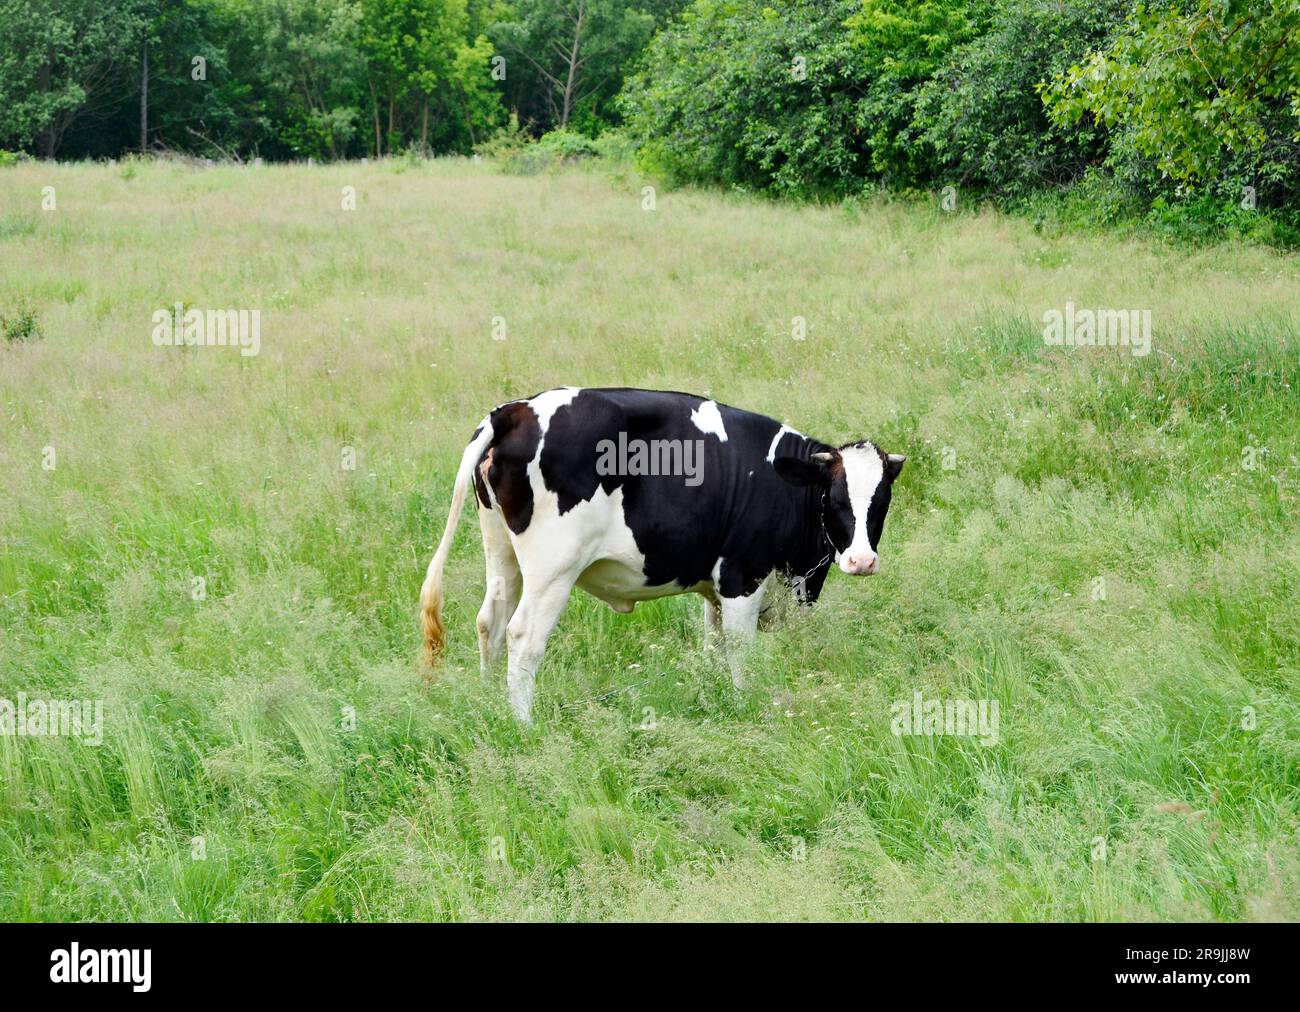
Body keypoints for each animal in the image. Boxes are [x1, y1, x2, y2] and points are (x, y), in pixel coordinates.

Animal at [419, 387, 905, 723]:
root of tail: (513, 410)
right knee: (523, 636)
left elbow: (714, 647)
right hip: (552, 569)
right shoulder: (742, 577)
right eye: (834, 499)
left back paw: (489, 703)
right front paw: (745, 704)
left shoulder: (716, 589)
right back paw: (523, 723)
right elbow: (740, 651)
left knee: (490, 621)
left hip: (502, 553)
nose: (862, 561)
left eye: (881, 502)